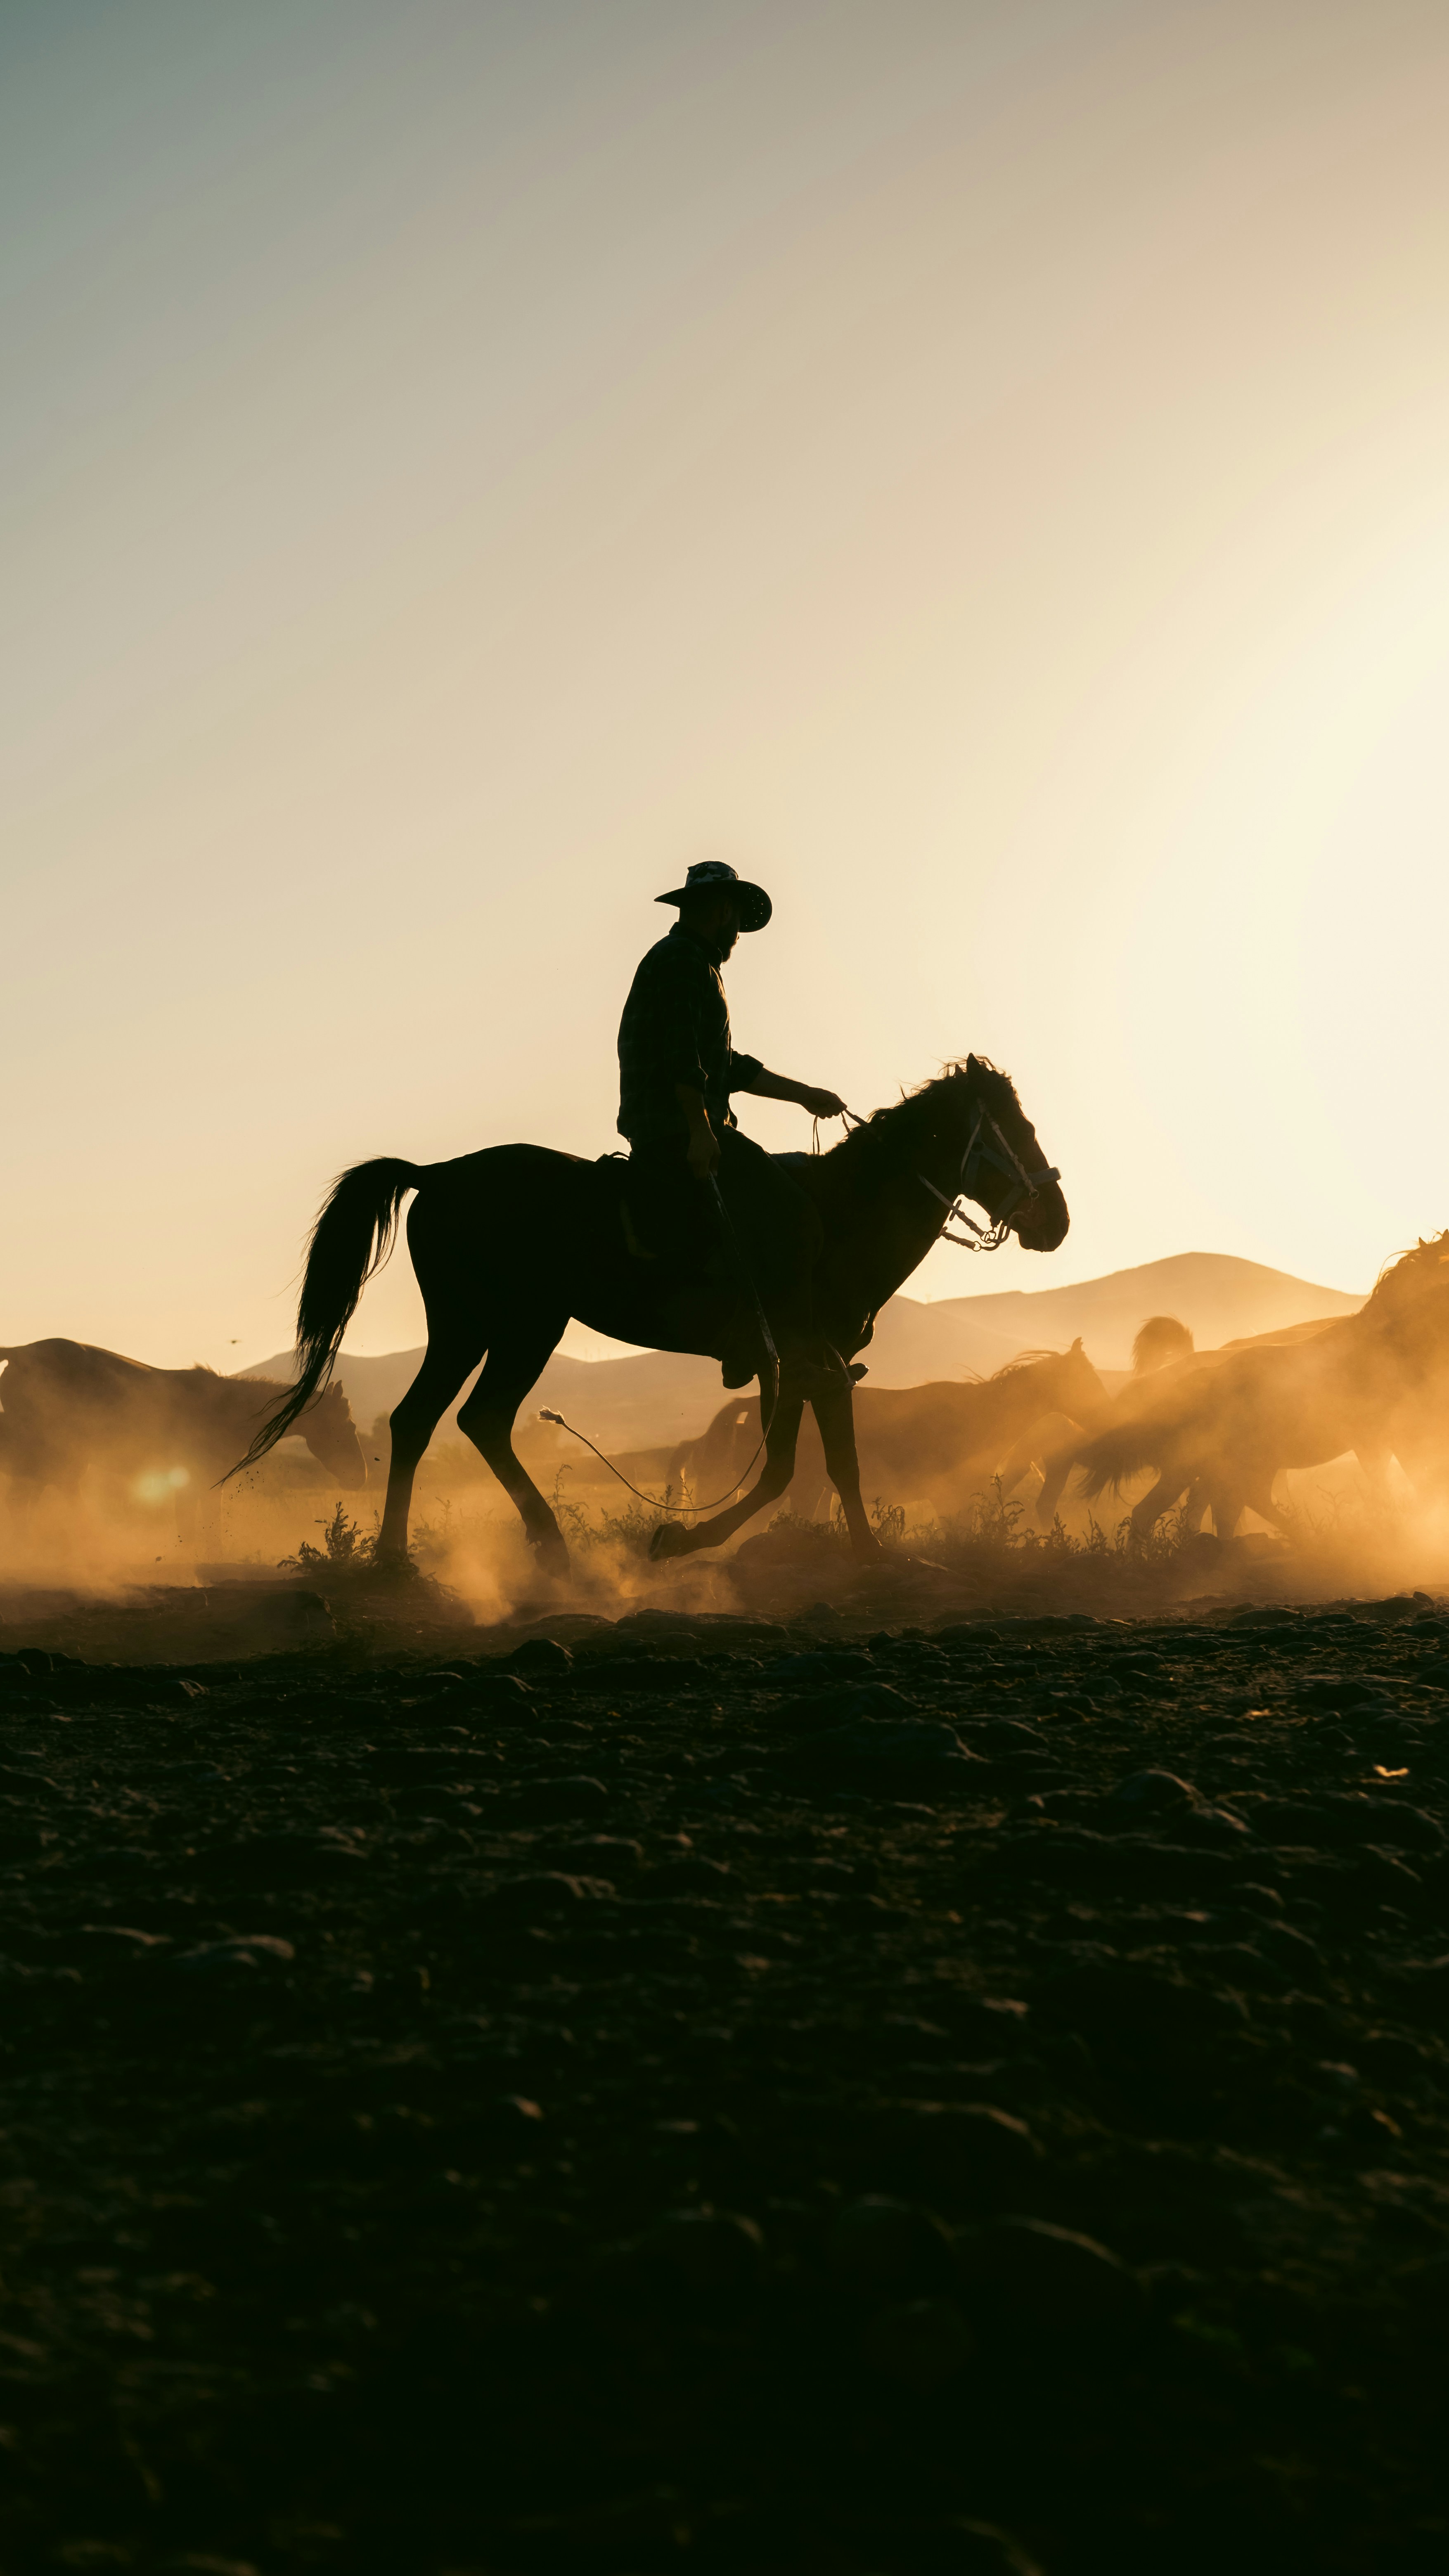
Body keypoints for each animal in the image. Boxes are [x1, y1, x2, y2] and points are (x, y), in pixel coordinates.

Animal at [0, 1340, 365, 1541]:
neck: (226, 1410)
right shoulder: (201, 1482)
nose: (360, 1478)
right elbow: (202, 1536)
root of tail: (19, 1353)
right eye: (347, 1427)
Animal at [1074, 1236, 1449, 1540]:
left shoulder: (1384, 1439)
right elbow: (1415, 1483)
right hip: (1222, 1464)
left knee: (1217, 1505)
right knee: (1177, 1509)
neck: (1389, 1342)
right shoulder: (1389, 1435)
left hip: (1231, 1465)